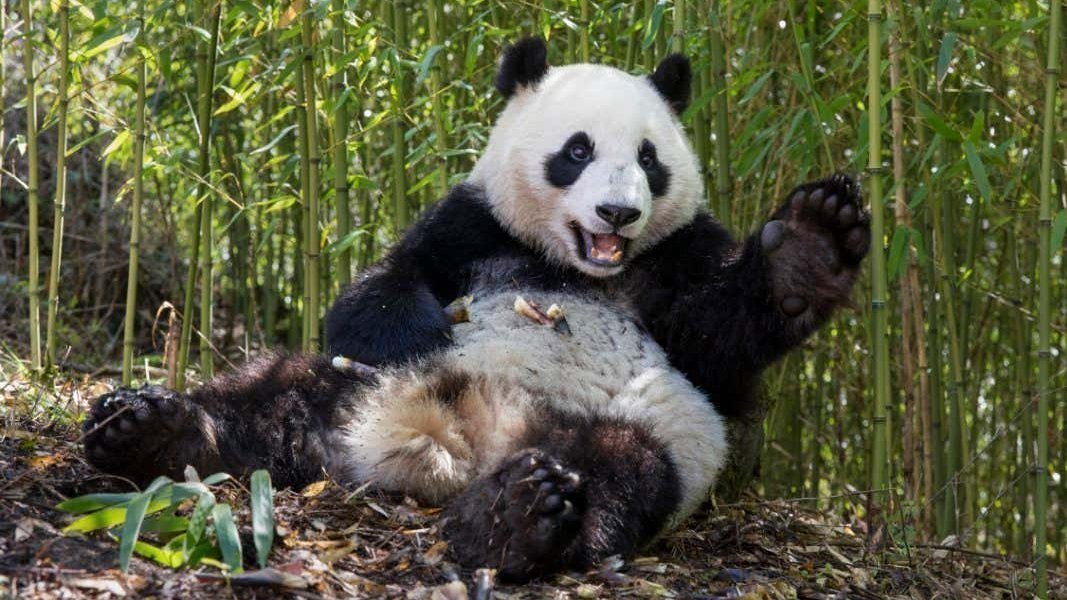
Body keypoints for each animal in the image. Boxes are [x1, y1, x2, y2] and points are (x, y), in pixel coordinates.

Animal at [83, 38, 869, 579]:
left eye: (649, 159)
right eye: (577, 151)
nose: (618, 213)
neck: (570, 268)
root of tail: (453, 445)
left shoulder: (677, 263)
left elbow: (718, 337)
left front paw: (811, 246)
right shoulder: (471, 224)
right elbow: (385, 279)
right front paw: (416, 327)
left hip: (657, 430)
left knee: (622, 472)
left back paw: (515, 518)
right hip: (347, 385)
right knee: (269, 398)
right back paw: (149, 431)